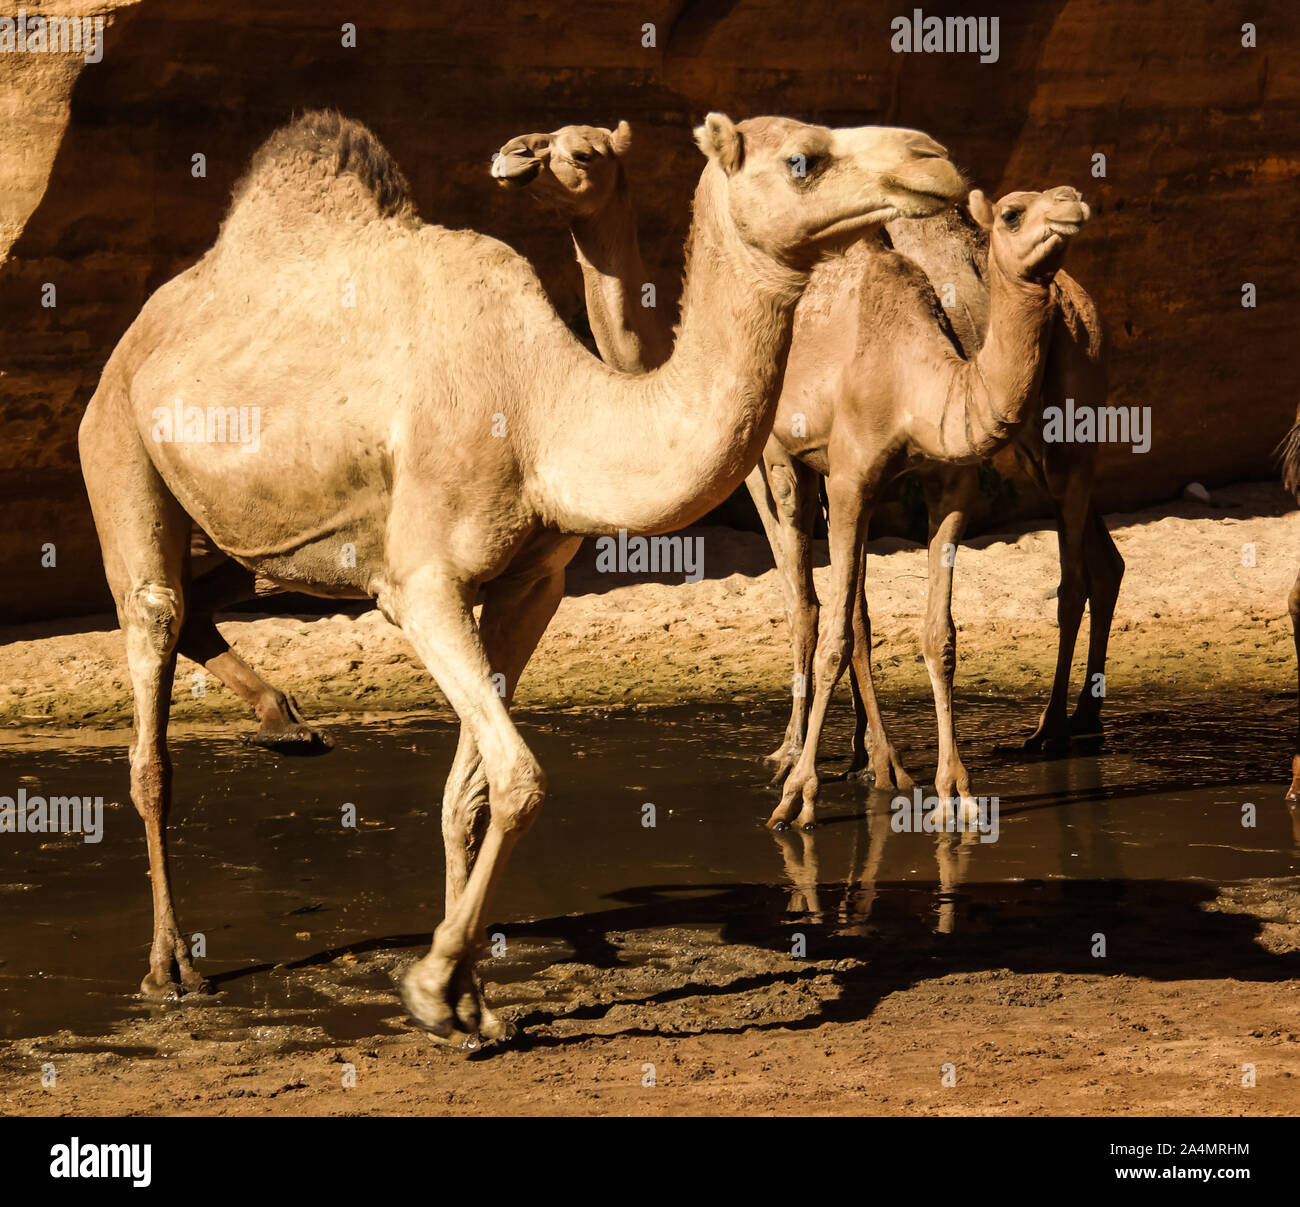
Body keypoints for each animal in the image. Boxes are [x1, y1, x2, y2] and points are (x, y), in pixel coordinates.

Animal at [79, 109, 966, 1044]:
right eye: (802, 160)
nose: (936, 159)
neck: (544, 415)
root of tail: (141, 330)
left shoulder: (529, 586)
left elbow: (466, 793)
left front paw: (473, 1001)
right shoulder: (422, 585)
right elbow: (518, 777)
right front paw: (433, 986)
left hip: (262, 534)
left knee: (210, 601)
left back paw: (287, 722)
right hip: (118, 449)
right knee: (153, 668)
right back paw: (170, 965)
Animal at [494, 122, 1111, 829]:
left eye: (582, 152)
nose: (513, 154)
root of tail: (1082, 303)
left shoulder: (787, 464)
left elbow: (822, 610)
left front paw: (816, 765)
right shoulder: (838, 468)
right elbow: (866, 617)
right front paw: (872, 759)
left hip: (1063, 441)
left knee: (1073, 575)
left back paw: (1050, 730)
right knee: (1104, 562)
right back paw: (1080, 719)